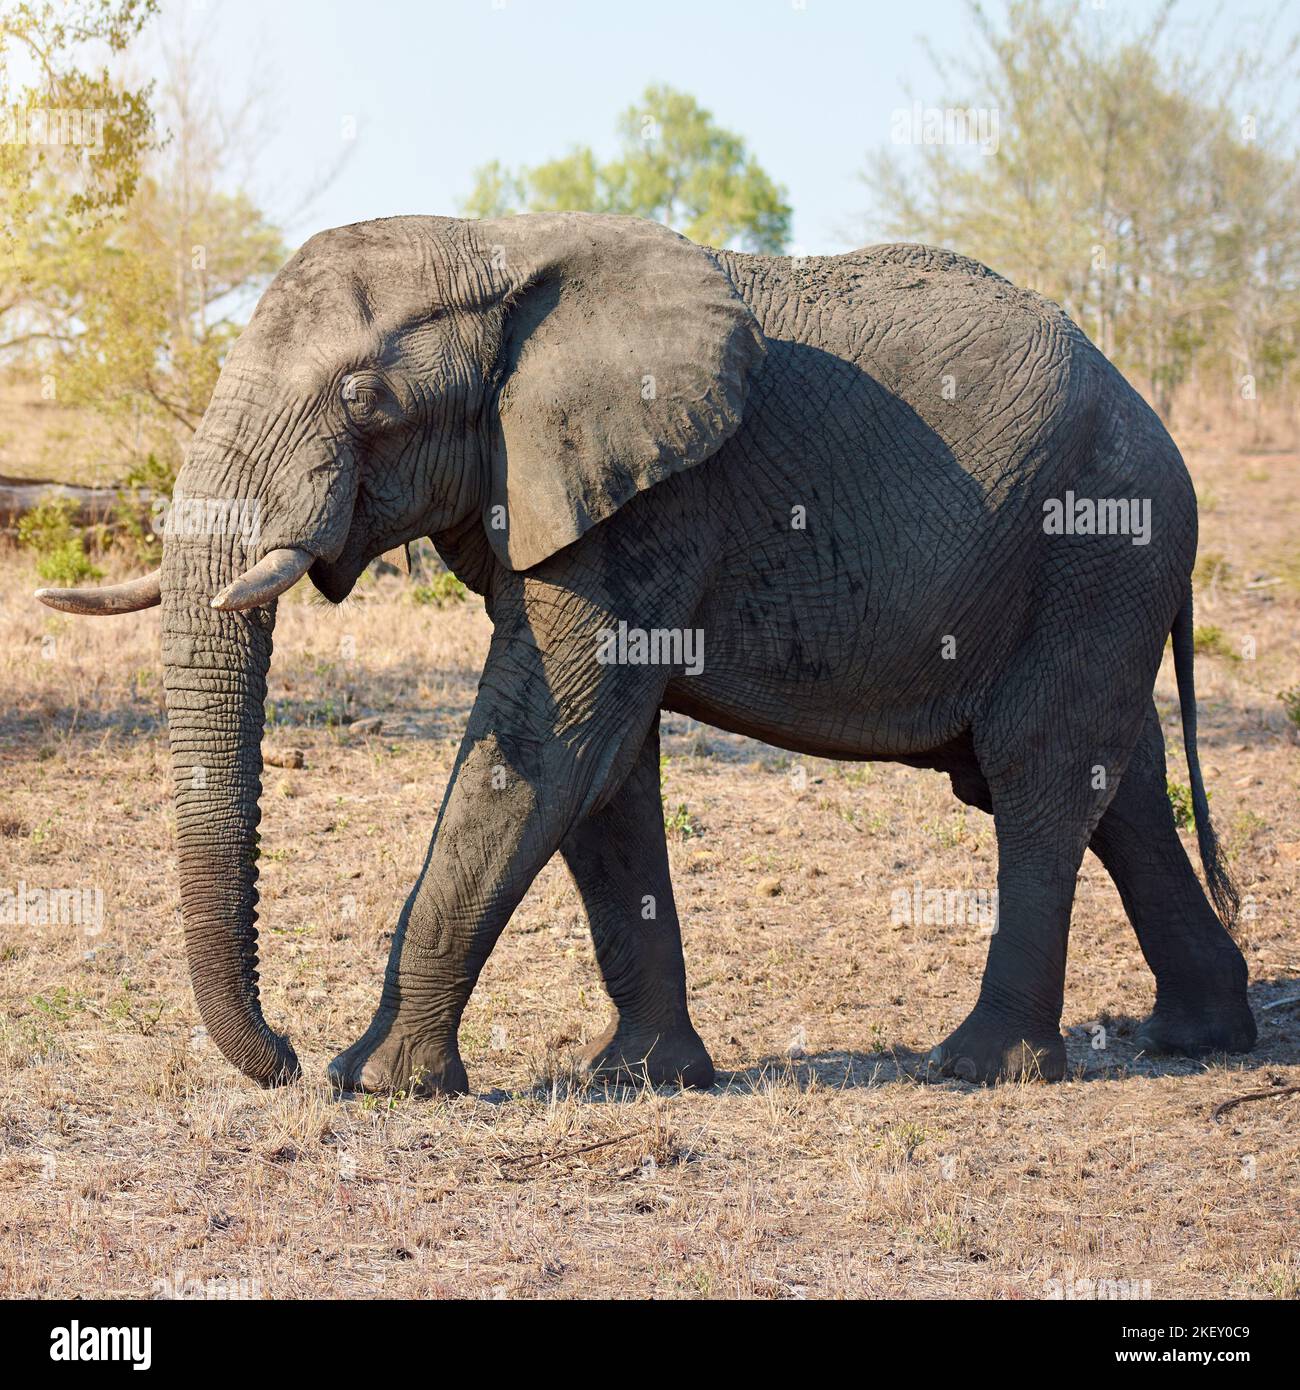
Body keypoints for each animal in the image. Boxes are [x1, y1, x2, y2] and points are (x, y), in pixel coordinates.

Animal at [37, 211, 1257, 1094]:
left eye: (364, 400)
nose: (282, 1057)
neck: (496, 247)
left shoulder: (654, 504)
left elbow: (549, 747)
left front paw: (375, 1084)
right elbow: (605, 777)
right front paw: (642, 1079)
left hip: (1098, 543)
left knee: (1037, 775)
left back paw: (976, 1068)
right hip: (1090, 575)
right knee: (1117, 782)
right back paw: (1199, 1037)